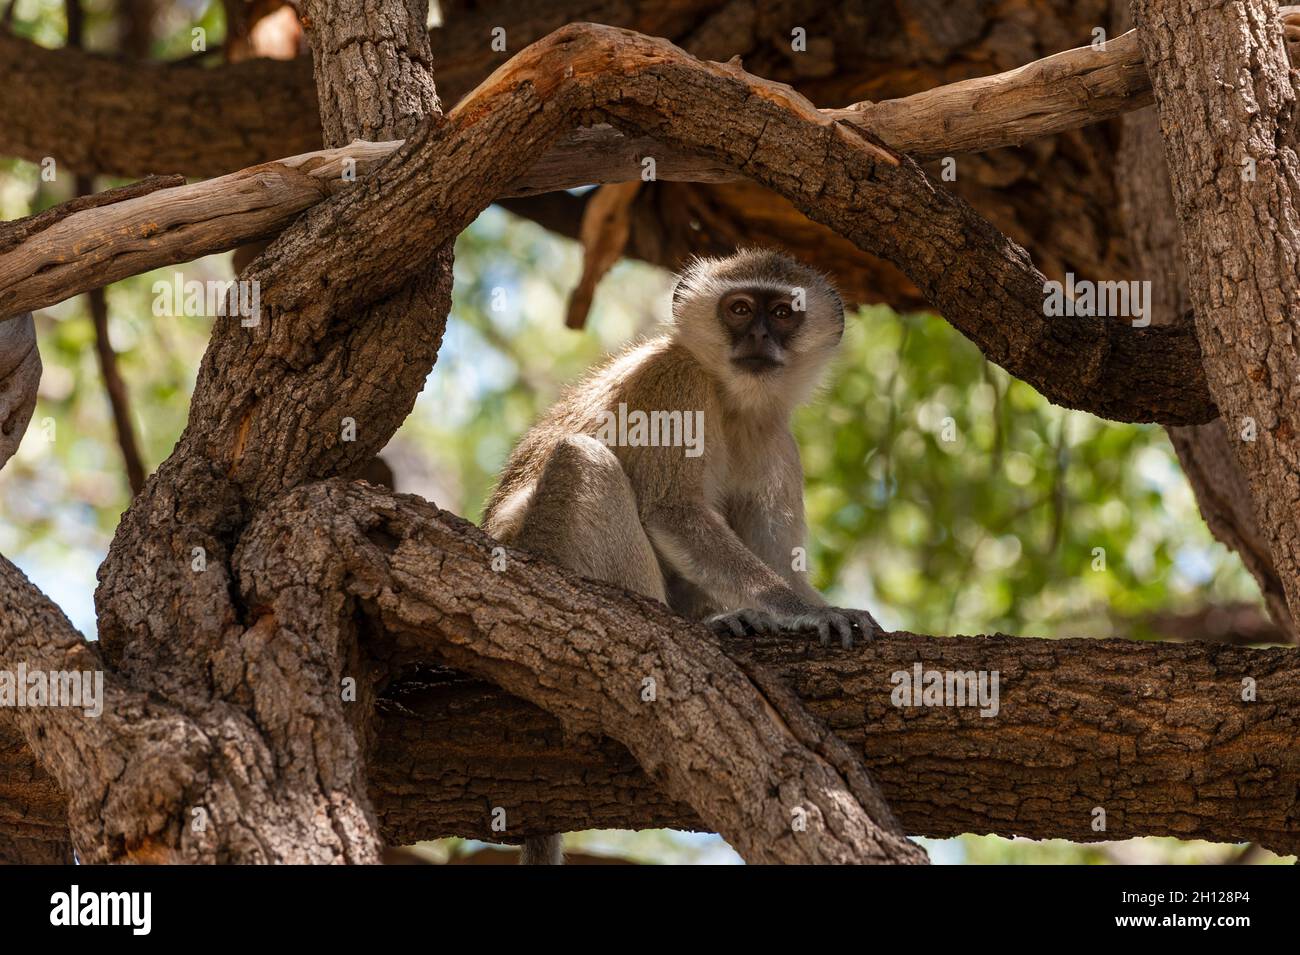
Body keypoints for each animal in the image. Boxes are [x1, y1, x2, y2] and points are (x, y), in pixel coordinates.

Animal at [482, 248, 882, 864]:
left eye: (782, 312)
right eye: (739, 309)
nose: (759, 336)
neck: (730, 400)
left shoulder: (777, 439)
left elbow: (776, 555)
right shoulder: (676, 383)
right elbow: (673, 511)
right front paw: (803, 611)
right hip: (540, 548)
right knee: (582, 460)